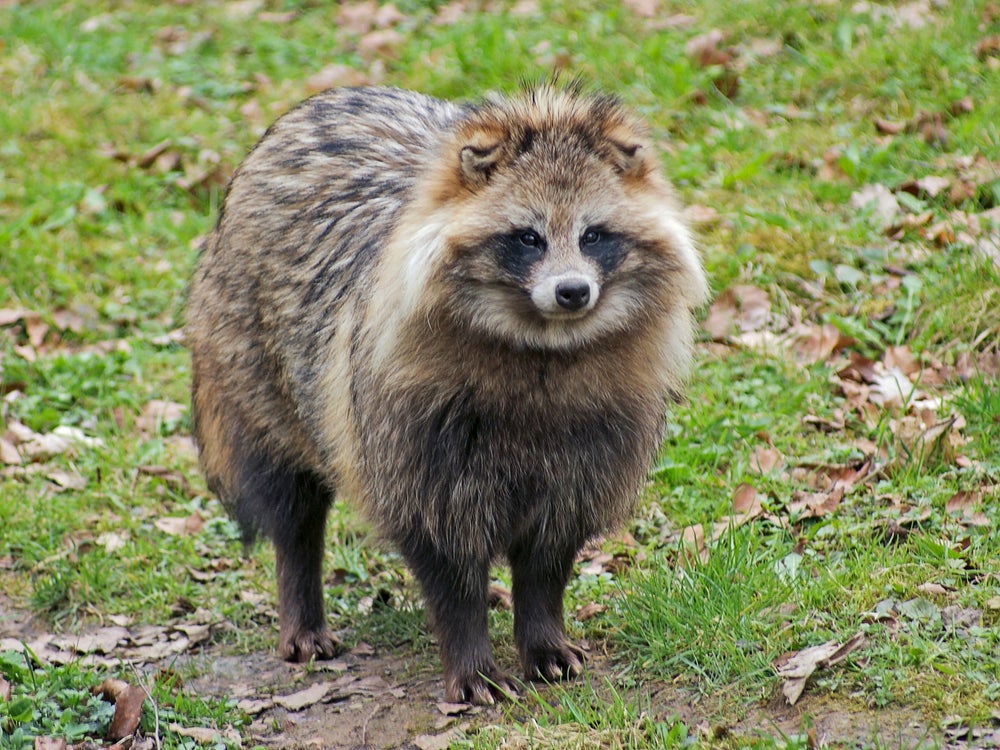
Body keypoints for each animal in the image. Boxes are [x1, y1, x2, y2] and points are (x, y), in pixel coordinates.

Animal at [186, 84, 708, 704]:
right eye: (528, 238)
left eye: (593, 235)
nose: (573, 292)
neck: (544, 345)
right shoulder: (410, 429)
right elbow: (442, 550)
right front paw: (471, 655)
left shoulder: (597, 437)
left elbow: (549, 553)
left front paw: (542, 633)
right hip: (254, 366)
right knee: (291, 503)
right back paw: (301, 597)